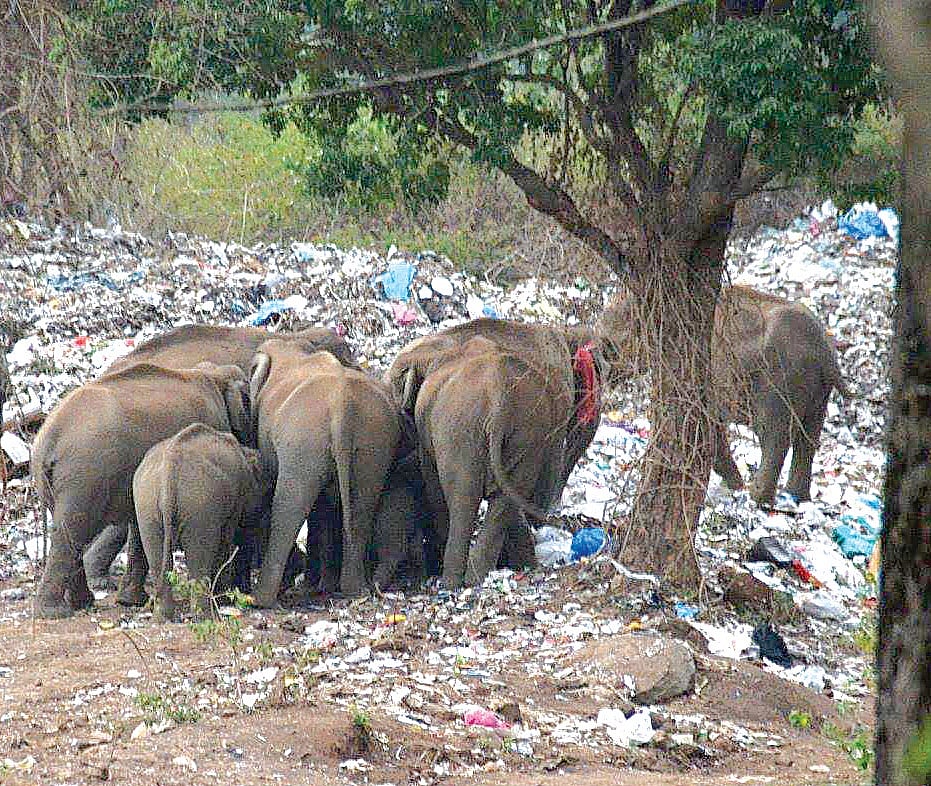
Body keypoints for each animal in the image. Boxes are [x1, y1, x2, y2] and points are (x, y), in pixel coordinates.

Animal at [30, 361, 252, 618]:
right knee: (73, 531)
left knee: (69, 533)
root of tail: (50, 437)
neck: (212, 375)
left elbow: (138, 525)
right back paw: (56, 612)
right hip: (83, 474)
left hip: (59, 481)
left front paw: (130, 602)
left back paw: (82, 603)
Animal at [123, 422, 268, 620]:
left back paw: (162, 617)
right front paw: (224, 601)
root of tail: (170, 467)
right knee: (200, 555)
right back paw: (206, 616)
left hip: (147, 504)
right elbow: (226, 540)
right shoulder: (236, 497)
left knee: (156, 553)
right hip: (200, 505)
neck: (243, 451)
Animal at [248, 339, 402, 605]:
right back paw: (352, 590)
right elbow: (326, 506)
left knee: (289, 505)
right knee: (361, 508)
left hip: (302, 440)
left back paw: (261, 599)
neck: (291, 350)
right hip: (375, 444)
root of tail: (343, 403)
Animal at [415, 338, 576, 588]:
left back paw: (452, 582)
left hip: (459, 431)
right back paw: (477, 578)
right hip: (527, 434)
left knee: (463, 499)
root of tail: (499, 392)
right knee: (505, 498)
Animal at [597, 284, 848, 506]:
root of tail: (825, 352)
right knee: (808, 437)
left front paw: (734, 486)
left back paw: (757, 498)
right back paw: (796, 498)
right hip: (816, 391)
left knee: (774, 435)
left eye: (609, 345)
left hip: (780, 380)